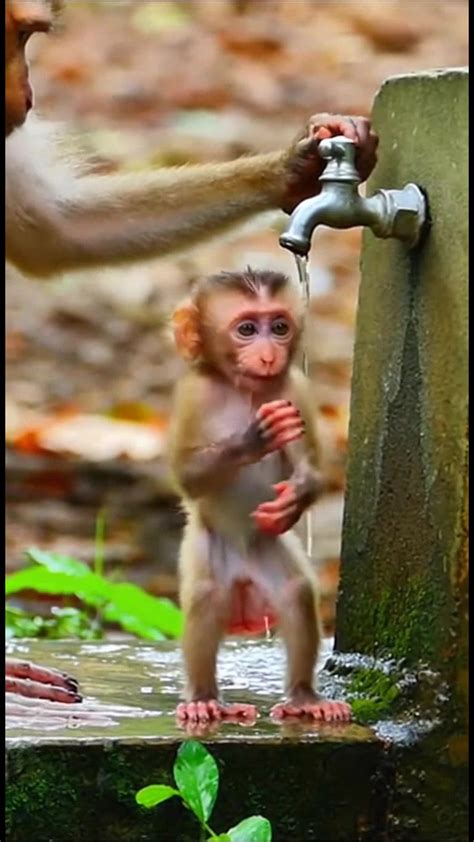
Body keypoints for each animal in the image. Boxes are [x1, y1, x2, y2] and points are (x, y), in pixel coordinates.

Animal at [168, 268, 352, 725]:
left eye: (280, 327)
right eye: (248, 329)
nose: (269, 356)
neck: (243, 389)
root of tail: (243, 575)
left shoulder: (294, 388)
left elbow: (314, 468)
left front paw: (295, 497)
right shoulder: (193, 393)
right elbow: (187, 477)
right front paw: (255, 437)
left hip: (269, 554)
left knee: (296, 592)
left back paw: (305, 699)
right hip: (209, 552)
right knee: (205, 596)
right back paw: (204, 700)